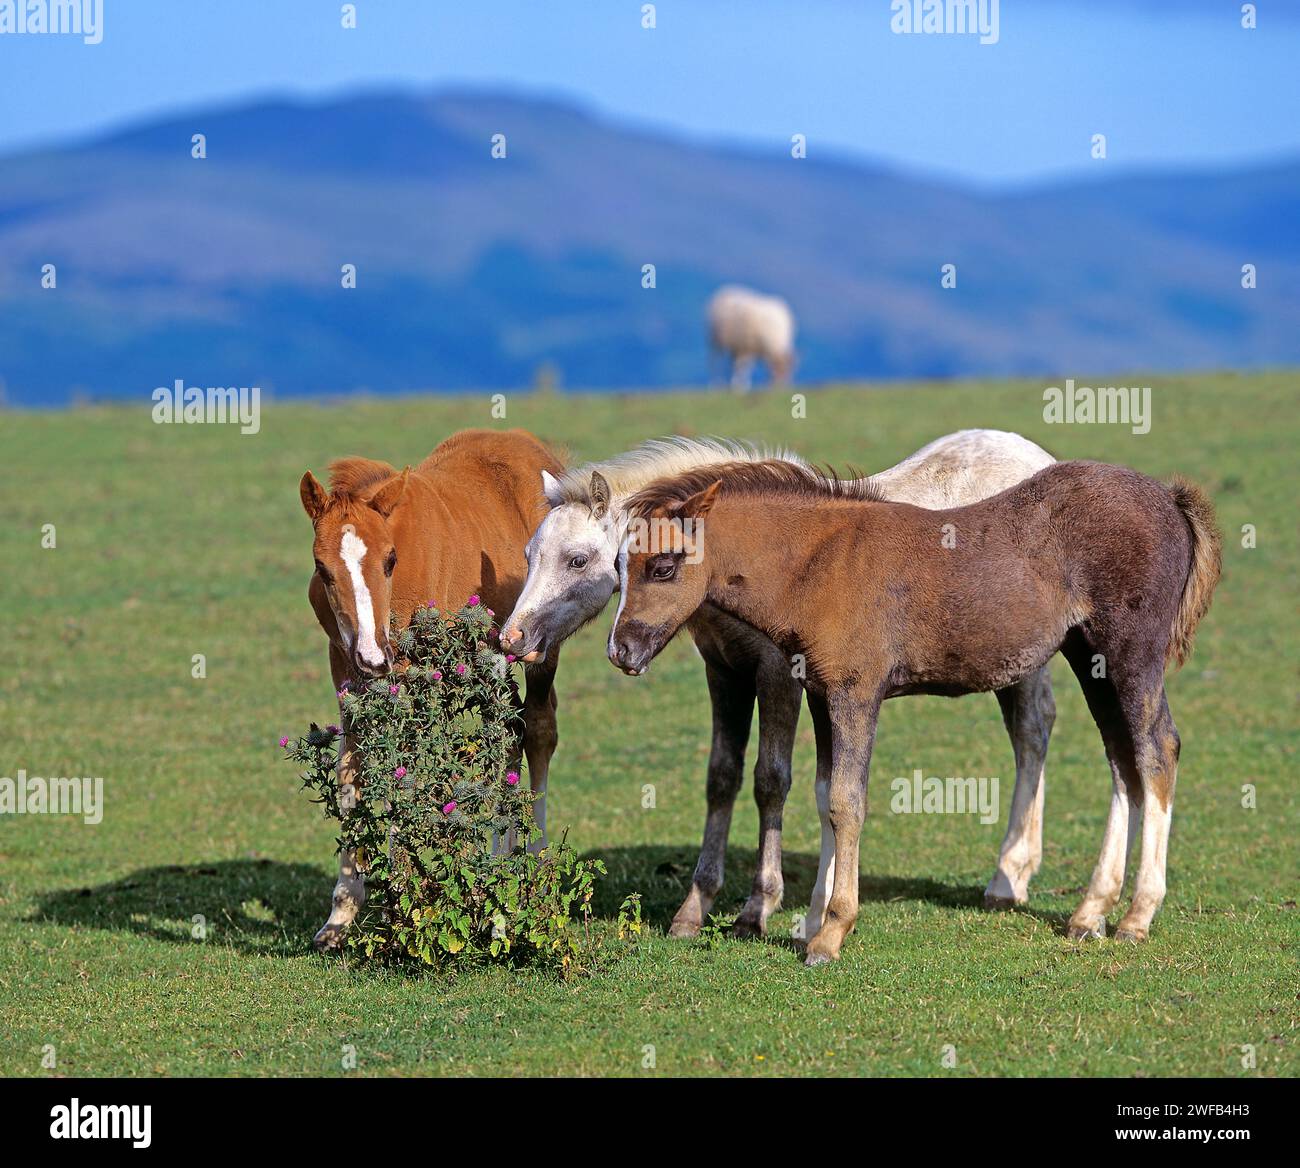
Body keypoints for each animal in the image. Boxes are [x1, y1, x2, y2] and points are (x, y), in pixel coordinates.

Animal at [298, 428, 564, 950]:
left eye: (389, 560)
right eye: (322, 568)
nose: (374, 656)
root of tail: (529, 445)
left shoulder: (410, 680)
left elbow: (405, 774)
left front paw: (405, 902)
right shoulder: (346, 672)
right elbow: (351, 777)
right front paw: (340, 917)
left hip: (537, 644)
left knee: (539, 730)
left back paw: (530, 867)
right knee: (510, 734)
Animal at [500, 430, 1057, 939]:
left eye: (577, 559)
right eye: (528, 554)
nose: (514, 636)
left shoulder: (778, 675)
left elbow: (772, 780)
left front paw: (758, 907)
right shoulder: (724, 672)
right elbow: (723, 778)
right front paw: (695, 909)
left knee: (1032, 731)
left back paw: (1008, 878)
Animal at [611, 459, 1220, 964]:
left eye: (663, 566)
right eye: (619, 566)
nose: (621, 651)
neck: (821, 562)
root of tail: (1168, 497)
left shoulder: (856, 693)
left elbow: (846, 803)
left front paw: (831, 933)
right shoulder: (821, 694)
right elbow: (823, 795)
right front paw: (810, 921)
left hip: (1130, 652)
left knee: (1157, 751)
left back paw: (1137, 915)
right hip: (1088, 656)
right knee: (1122, 761)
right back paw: (1091, 910)